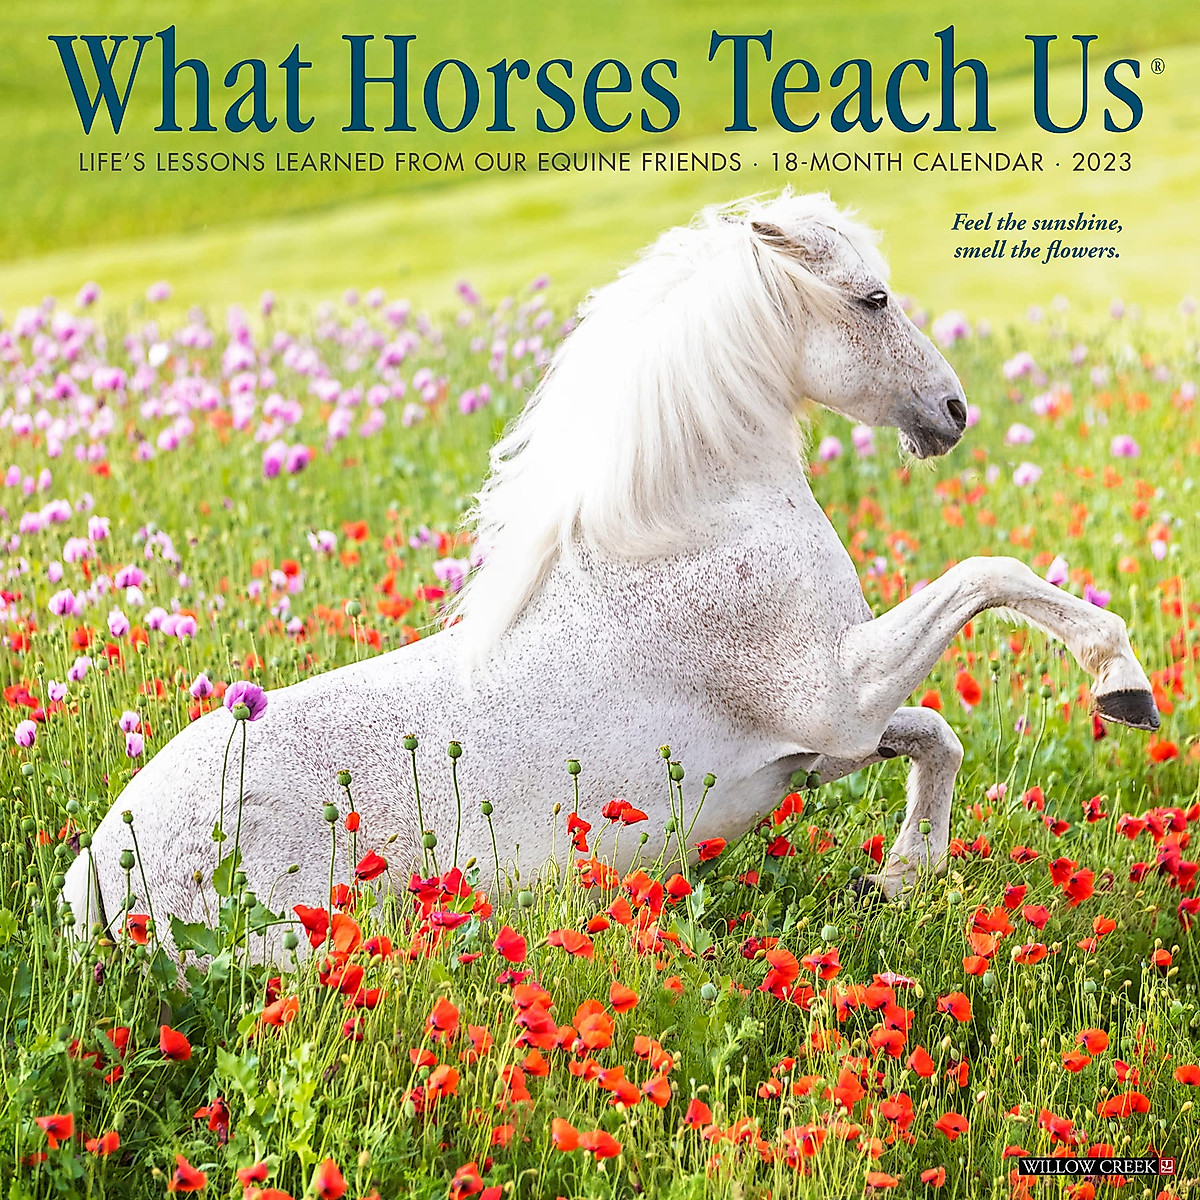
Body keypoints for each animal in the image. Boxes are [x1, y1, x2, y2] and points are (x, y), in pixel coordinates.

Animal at [63, 191, 1159, 956]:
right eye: (873, 298)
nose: (952, 412)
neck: (688, 531)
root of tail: (98, 879)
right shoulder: (837, 695)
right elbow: (991, 577)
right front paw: (1124, 686)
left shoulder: (824, 742)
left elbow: (937, 736)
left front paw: (895, 879)